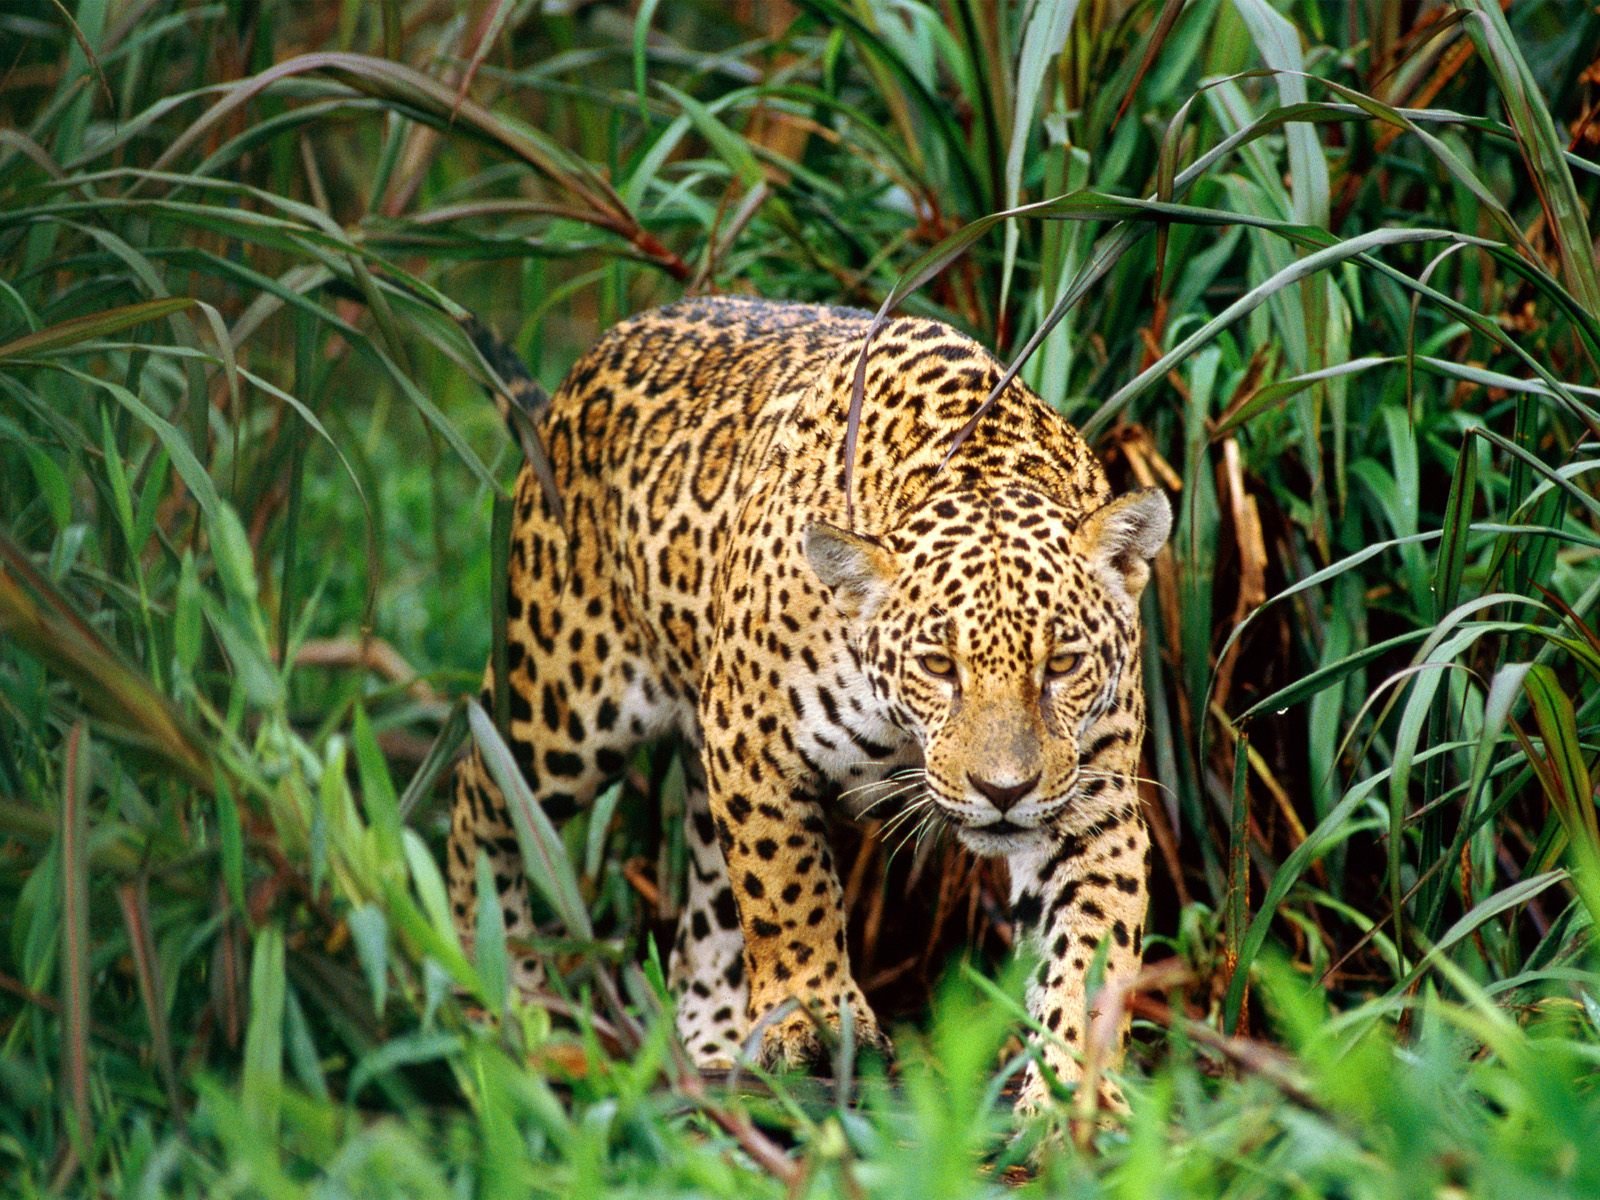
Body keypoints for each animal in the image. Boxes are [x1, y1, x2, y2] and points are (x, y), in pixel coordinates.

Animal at [446, 295, 1170, 1112]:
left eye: (1062, 665)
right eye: (939, 665)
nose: (1004, 792)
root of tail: (585, 368)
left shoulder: (1093, 803)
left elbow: (1091, 951)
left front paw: (1079, 1099)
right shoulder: (752, 743)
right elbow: (788, 892)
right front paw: (813, 1019)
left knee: (706, 902)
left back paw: (714, 1041)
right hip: (562, 701)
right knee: (480, 791)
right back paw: (500, 990)